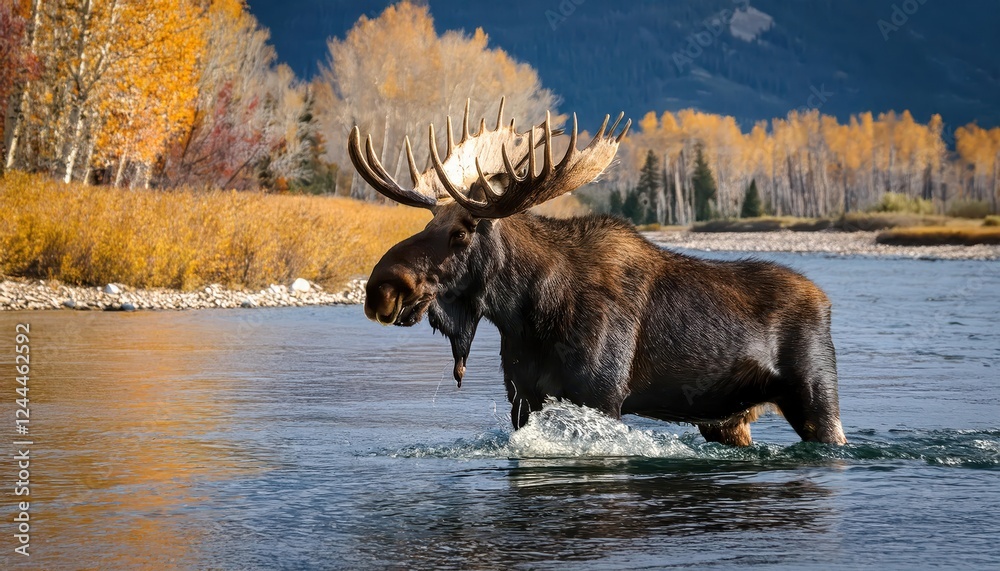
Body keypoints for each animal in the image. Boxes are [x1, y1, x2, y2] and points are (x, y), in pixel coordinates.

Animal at [349, 99, 847, 446]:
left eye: (461, 232)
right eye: (426, 225)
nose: (381, 288)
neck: (526, 313)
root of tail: (825, 301)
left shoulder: (602, 396)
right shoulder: (523, 397)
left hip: (817, 396)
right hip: (726, 419)